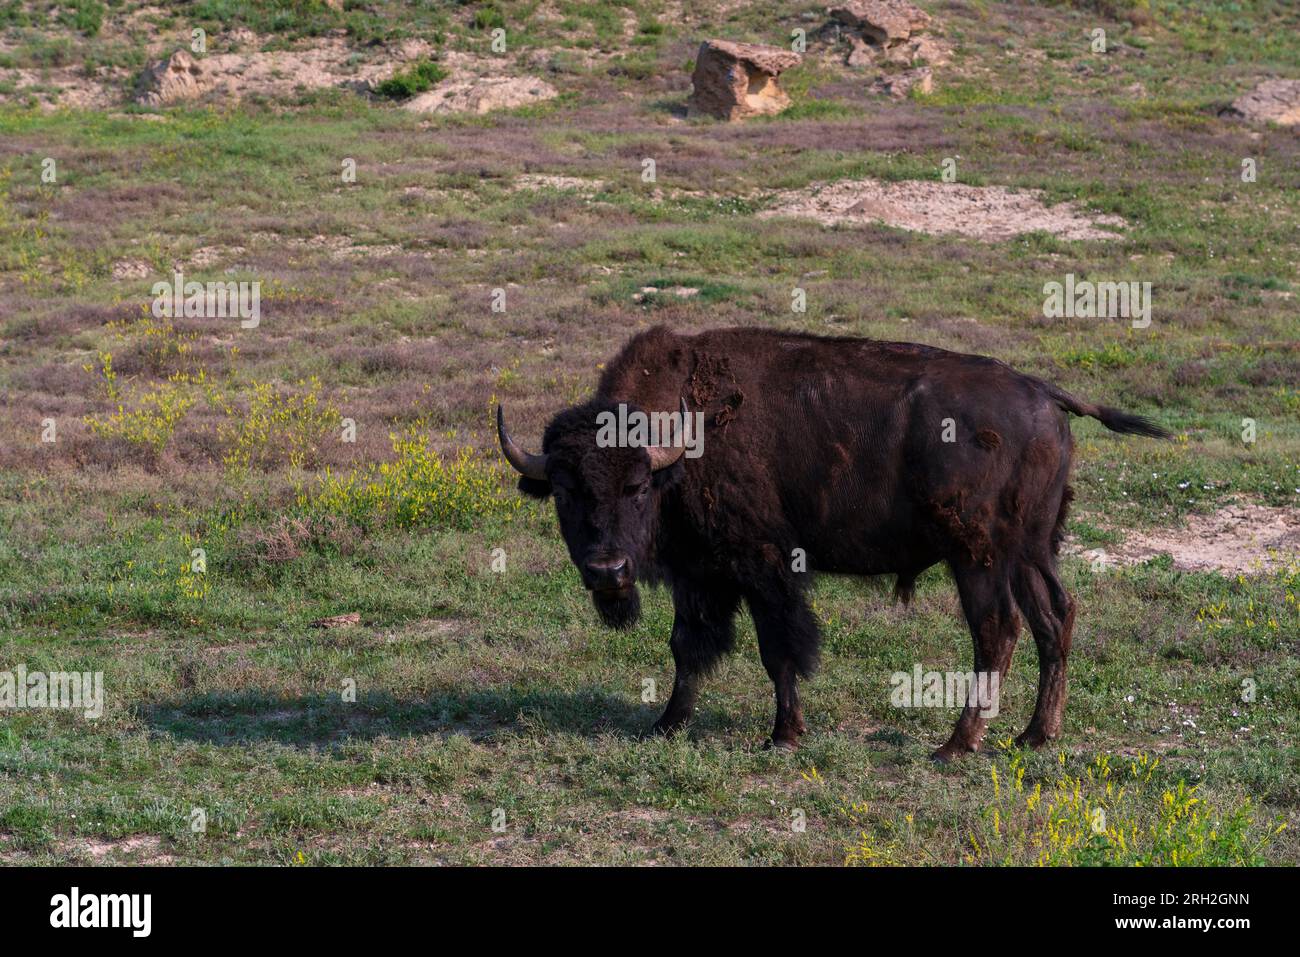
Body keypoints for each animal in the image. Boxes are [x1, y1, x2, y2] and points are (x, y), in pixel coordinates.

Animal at [497, 326, 1169, 759]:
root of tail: (1043, 394)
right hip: (1029, 552)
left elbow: (779, 651)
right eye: (563, 491)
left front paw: (783, 736)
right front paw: (666, 725)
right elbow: (687, 649)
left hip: (977, 558)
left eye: (637, 487)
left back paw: (954, 747)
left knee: (997, 632)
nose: (607, 570)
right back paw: (1034, 736)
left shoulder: (764, 568)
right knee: (1055, 618)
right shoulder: (700, 575)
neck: (678, 444)